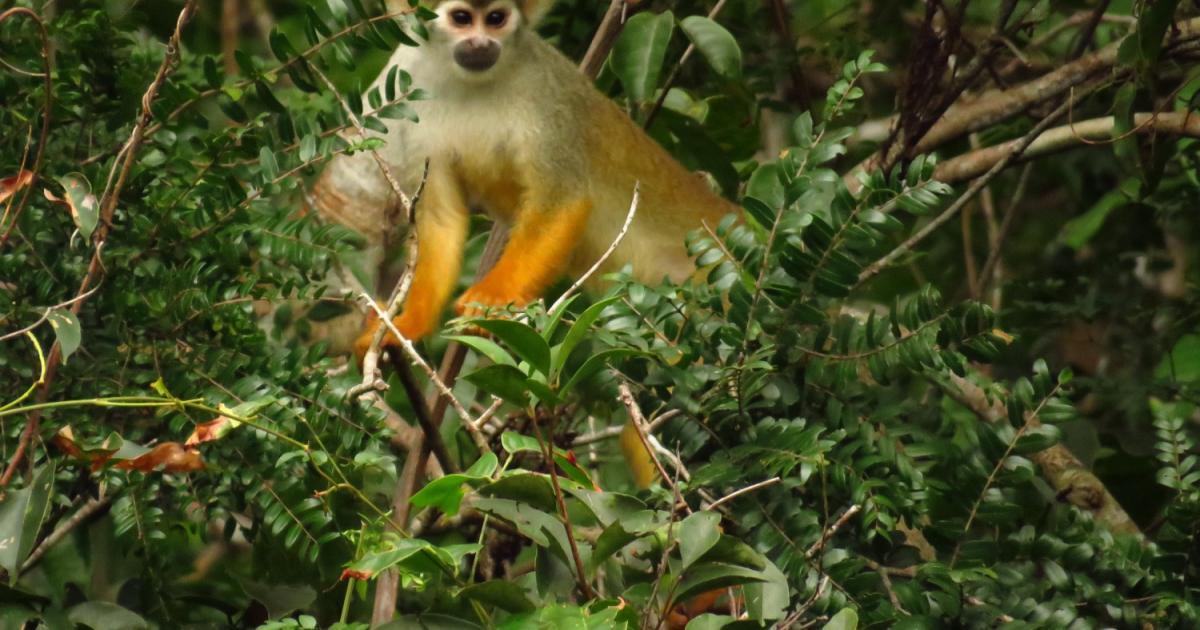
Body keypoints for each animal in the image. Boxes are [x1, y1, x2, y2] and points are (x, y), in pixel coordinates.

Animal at [343, 0, 739, 489]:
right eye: (461, 18)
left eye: (495, 18)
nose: (481, 44)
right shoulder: (409, 86)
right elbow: (439, 218)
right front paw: (407, 324)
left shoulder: (549, 93)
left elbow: (562, 199)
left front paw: (491, 301)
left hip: (708, 294)